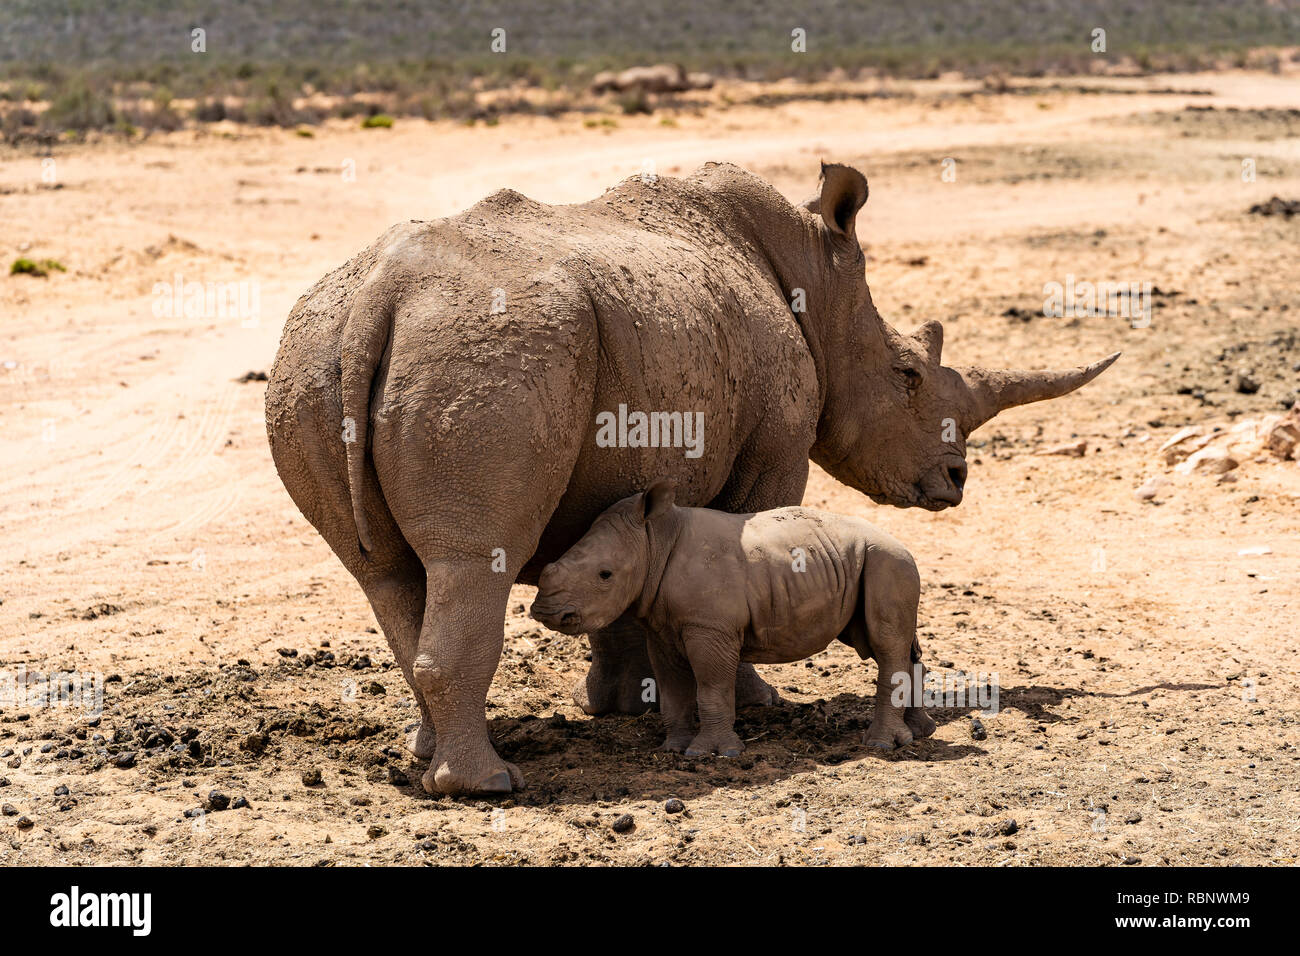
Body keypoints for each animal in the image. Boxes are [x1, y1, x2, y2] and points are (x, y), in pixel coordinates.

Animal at [266, 161, 1117, 795]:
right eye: (907, 373)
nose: (955, 480)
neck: (819, 279)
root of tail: (382, 294)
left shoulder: (617, 476)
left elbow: (615, 584)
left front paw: (617, 706)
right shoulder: (776, 447)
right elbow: (753, 541)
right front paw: (756, 706)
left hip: (316, 353)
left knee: (386, 574)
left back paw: (426, 755)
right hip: (486, 349)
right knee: (474, 560)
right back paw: (487, 786)